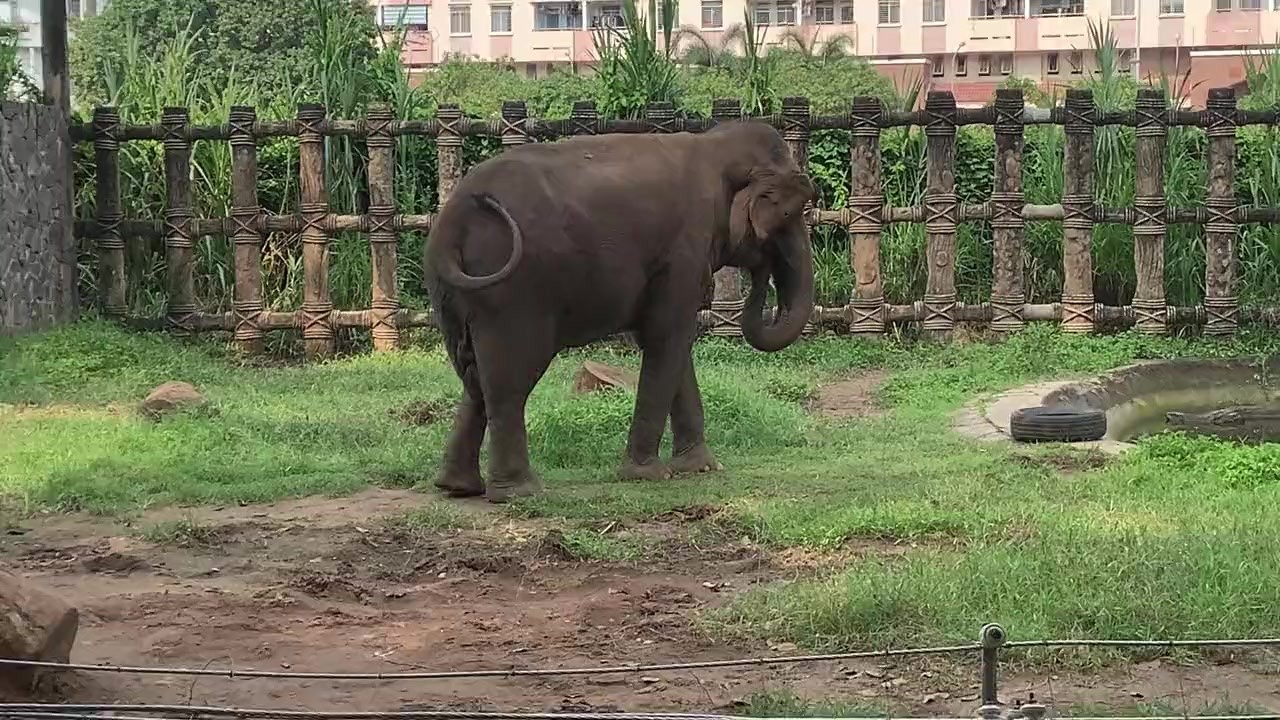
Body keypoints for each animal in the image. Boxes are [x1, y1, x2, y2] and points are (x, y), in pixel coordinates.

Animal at [422, 120, 817, 504]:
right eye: (790, 212)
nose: (762, 271)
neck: (713, 146)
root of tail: (455, 217)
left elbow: (670, 344)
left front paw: (701, 468)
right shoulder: (684, 251)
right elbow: (667, 336)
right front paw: (649, 475)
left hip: (452, 296)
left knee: (474, 376)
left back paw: (457, 487)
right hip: (512, 292)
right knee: (509, 381)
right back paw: (521, 492)